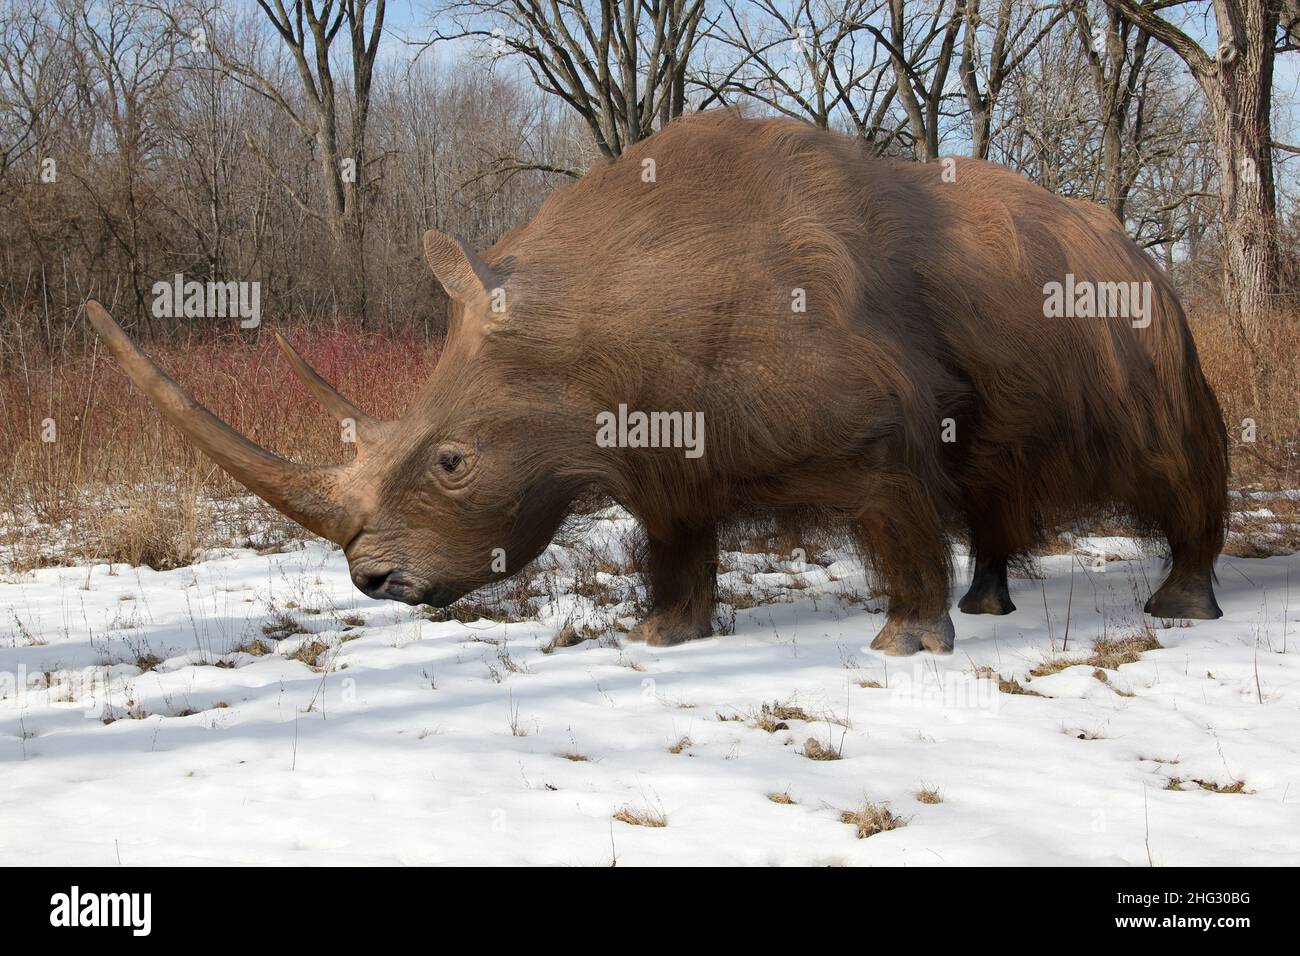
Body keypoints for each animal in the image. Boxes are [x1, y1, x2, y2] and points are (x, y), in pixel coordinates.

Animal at [86, 111, 1227, 655]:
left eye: (451, 461)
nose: (373, 582)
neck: (585, 320)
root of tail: (1139, 245)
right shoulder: (656, 442)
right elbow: (675, 544)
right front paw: (660, 636)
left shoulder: (875, 424)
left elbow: (900, 513)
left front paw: (905, 643)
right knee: (995, 472)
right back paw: (991, 603)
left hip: (1146, 319)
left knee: (1170, 450)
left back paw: (1176, 607)